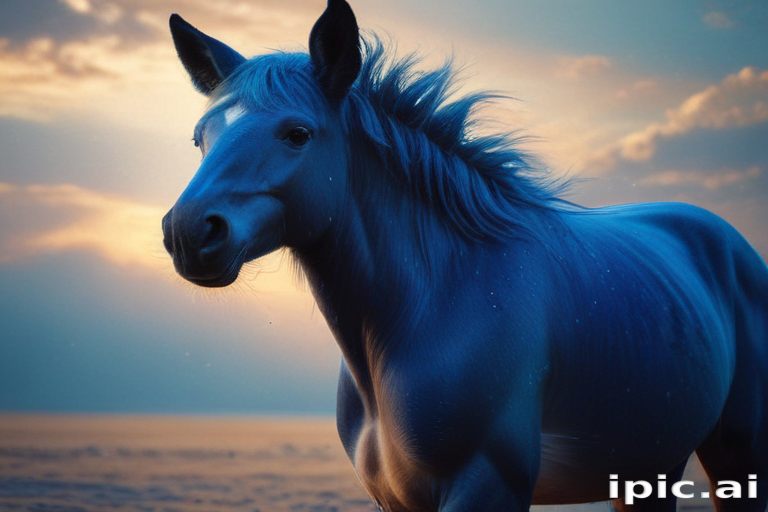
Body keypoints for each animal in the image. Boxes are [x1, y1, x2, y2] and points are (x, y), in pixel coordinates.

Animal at [161, 1, 768, 510]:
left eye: (297, 133)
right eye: (200, 137)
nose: (189, 233)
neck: (431, 308)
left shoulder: (487, 488)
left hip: (739, 455)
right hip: (646, 471)